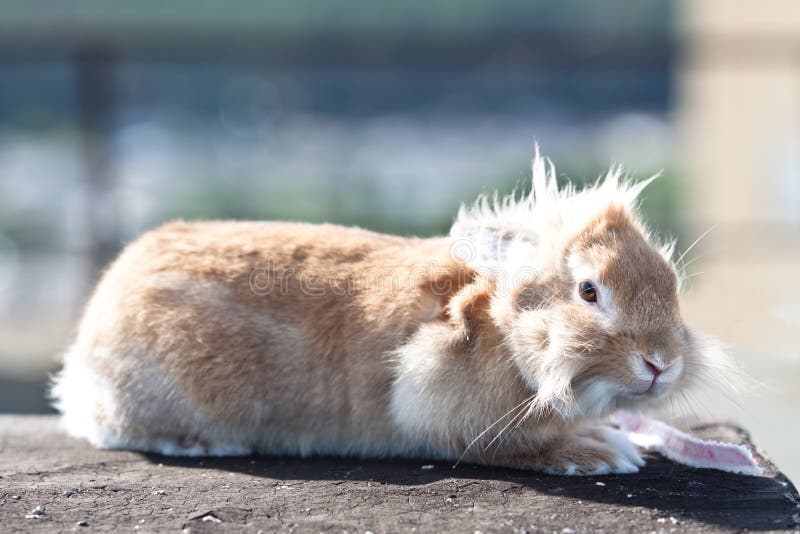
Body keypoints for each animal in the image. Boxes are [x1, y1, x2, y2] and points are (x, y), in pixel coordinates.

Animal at [51, 149, 730, 475]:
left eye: (670, 282)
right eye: (589, 291)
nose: (661, 363)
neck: (504, 332)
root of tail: (88, 342)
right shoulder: (443, 408)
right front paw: (599, 451)